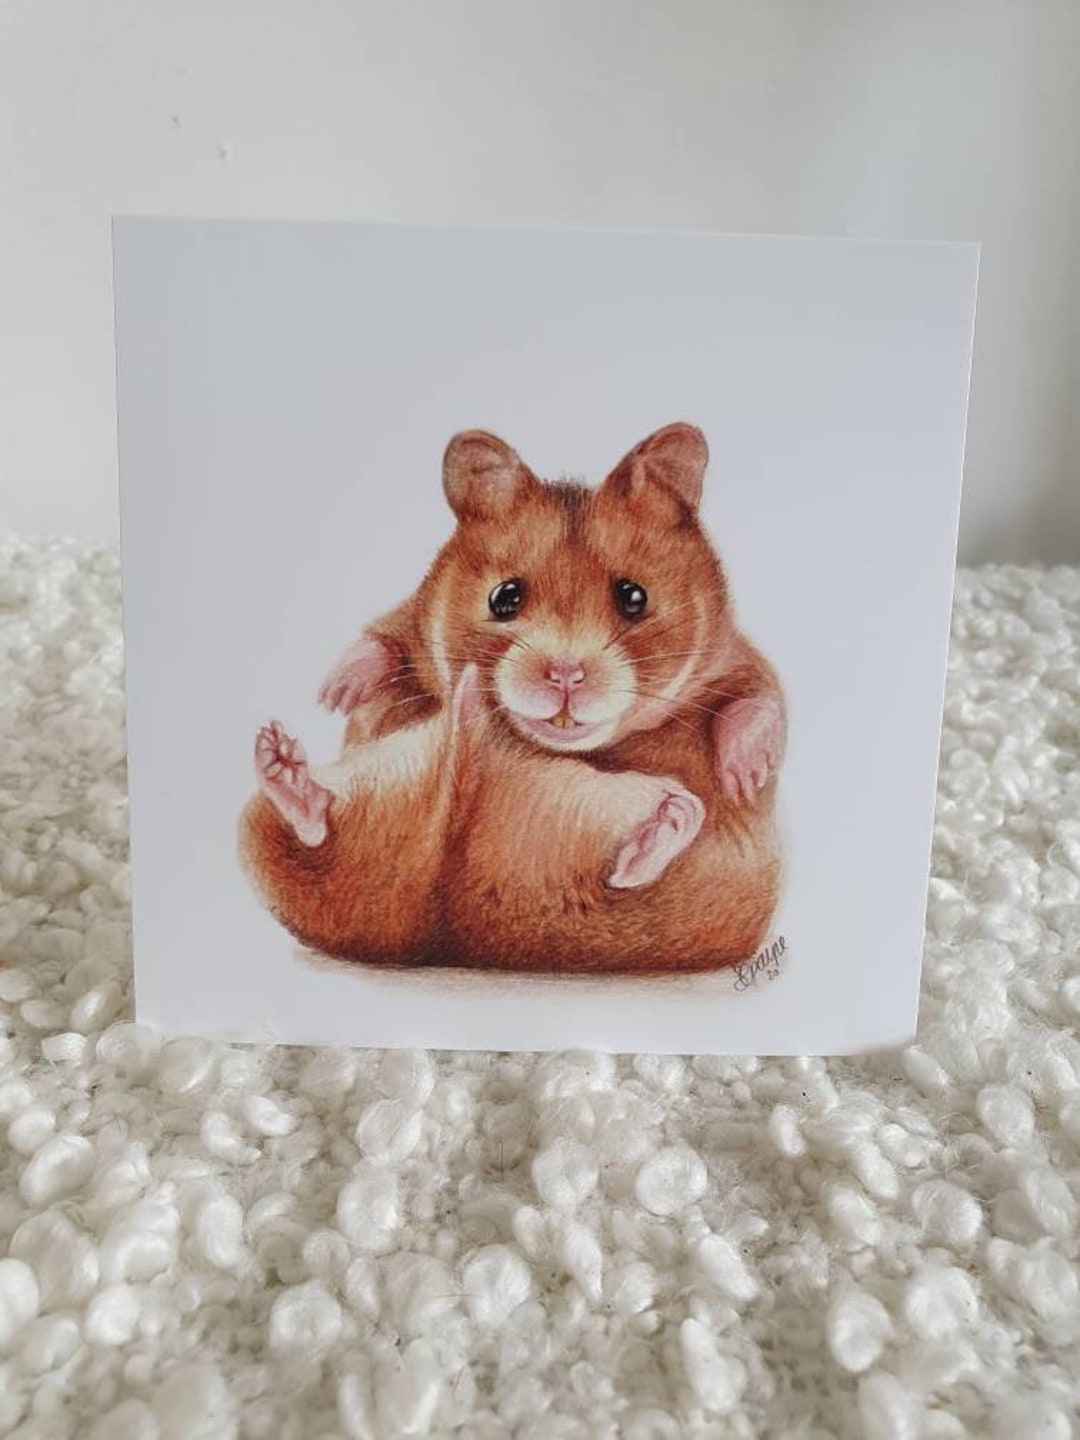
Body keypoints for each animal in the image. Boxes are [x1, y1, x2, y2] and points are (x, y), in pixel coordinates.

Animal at [239, 423, 785, 972]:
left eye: (634, 597)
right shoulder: (412, 617)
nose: (565, 674)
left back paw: (662, 824)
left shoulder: (741, 658)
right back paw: (286, 761)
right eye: (505, 597)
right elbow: (387, 636)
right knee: (319, 840)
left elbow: (760, 702)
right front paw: (336, 693)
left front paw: (743, 776)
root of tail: (444, 918)